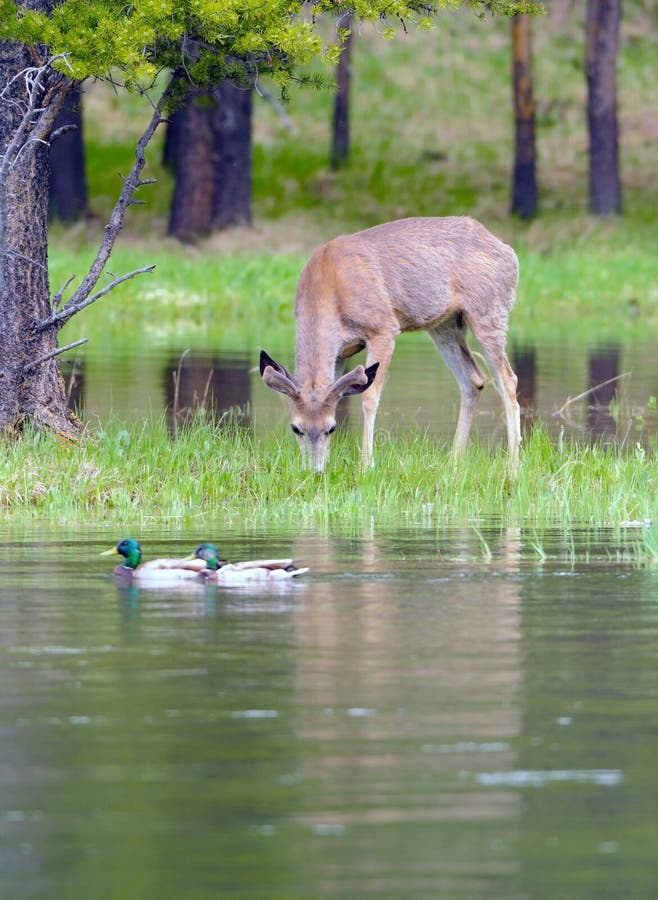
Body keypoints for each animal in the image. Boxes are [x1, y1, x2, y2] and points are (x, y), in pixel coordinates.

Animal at [260, 216, 521, 475]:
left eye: (330, 428)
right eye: (295, 428)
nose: (314, 472)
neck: (327, 287)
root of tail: (508, 252)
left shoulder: (383, 328)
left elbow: (369, 397)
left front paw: (366, 465)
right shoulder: (340, 352)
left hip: (488, 310)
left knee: (508, 379)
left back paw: (512, 467)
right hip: (445, 325)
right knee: (473, 380)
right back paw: (454, 462)